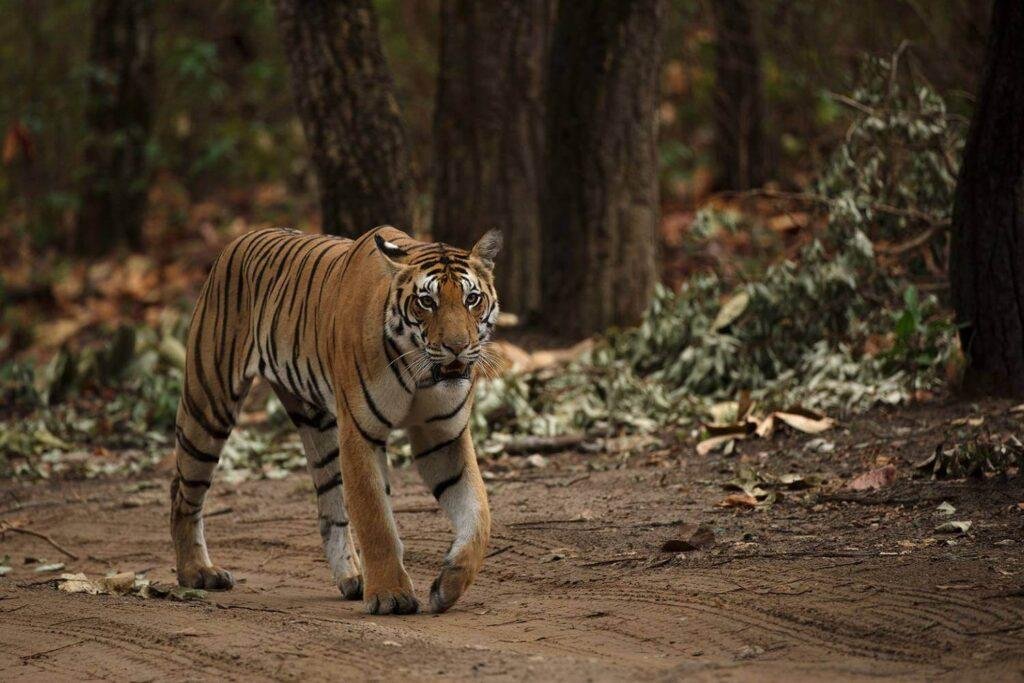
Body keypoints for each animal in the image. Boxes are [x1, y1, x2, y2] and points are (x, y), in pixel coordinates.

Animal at [169, 225, 502, 615]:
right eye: (426, 302)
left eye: (472, 299)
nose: (456, 347)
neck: (421, 373)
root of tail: (238, 239)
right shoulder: (360, 431)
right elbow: (375, 519)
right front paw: (390, 595)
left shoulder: (443, 436)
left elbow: (478, 516)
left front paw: (447, 585)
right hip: (209, 404)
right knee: (183, 491)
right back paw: (197, 572)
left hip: (317, 424)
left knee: (330, 509)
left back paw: (352, 577)